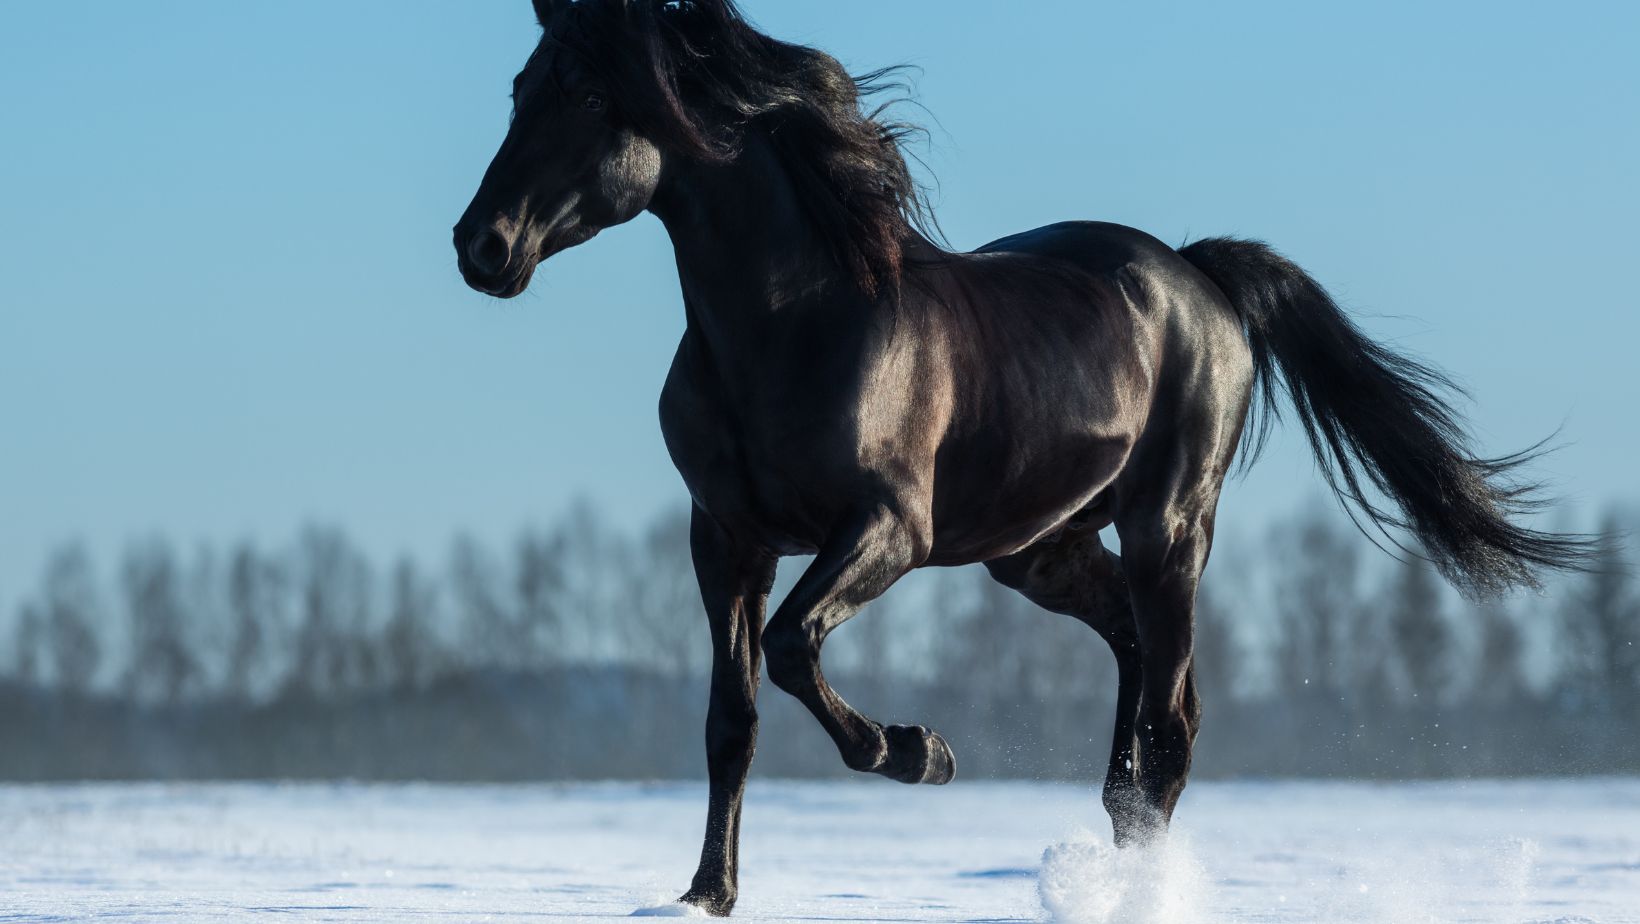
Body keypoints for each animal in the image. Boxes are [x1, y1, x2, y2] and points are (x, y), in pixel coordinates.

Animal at [452, 0, 1590, 915]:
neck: (791, 326)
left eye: (590, 94)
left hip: (1169, 528)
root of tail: (1197, 276)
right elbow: (731, 716)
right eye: (519, 88)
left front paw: (920, 753)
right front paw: (705, 895)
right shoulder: (726, 538)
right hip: (1040, 551)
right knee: (1135, 681)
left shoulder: (884, 530)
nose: (481, 247)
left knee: (1171, 718)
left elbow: (789, 648)